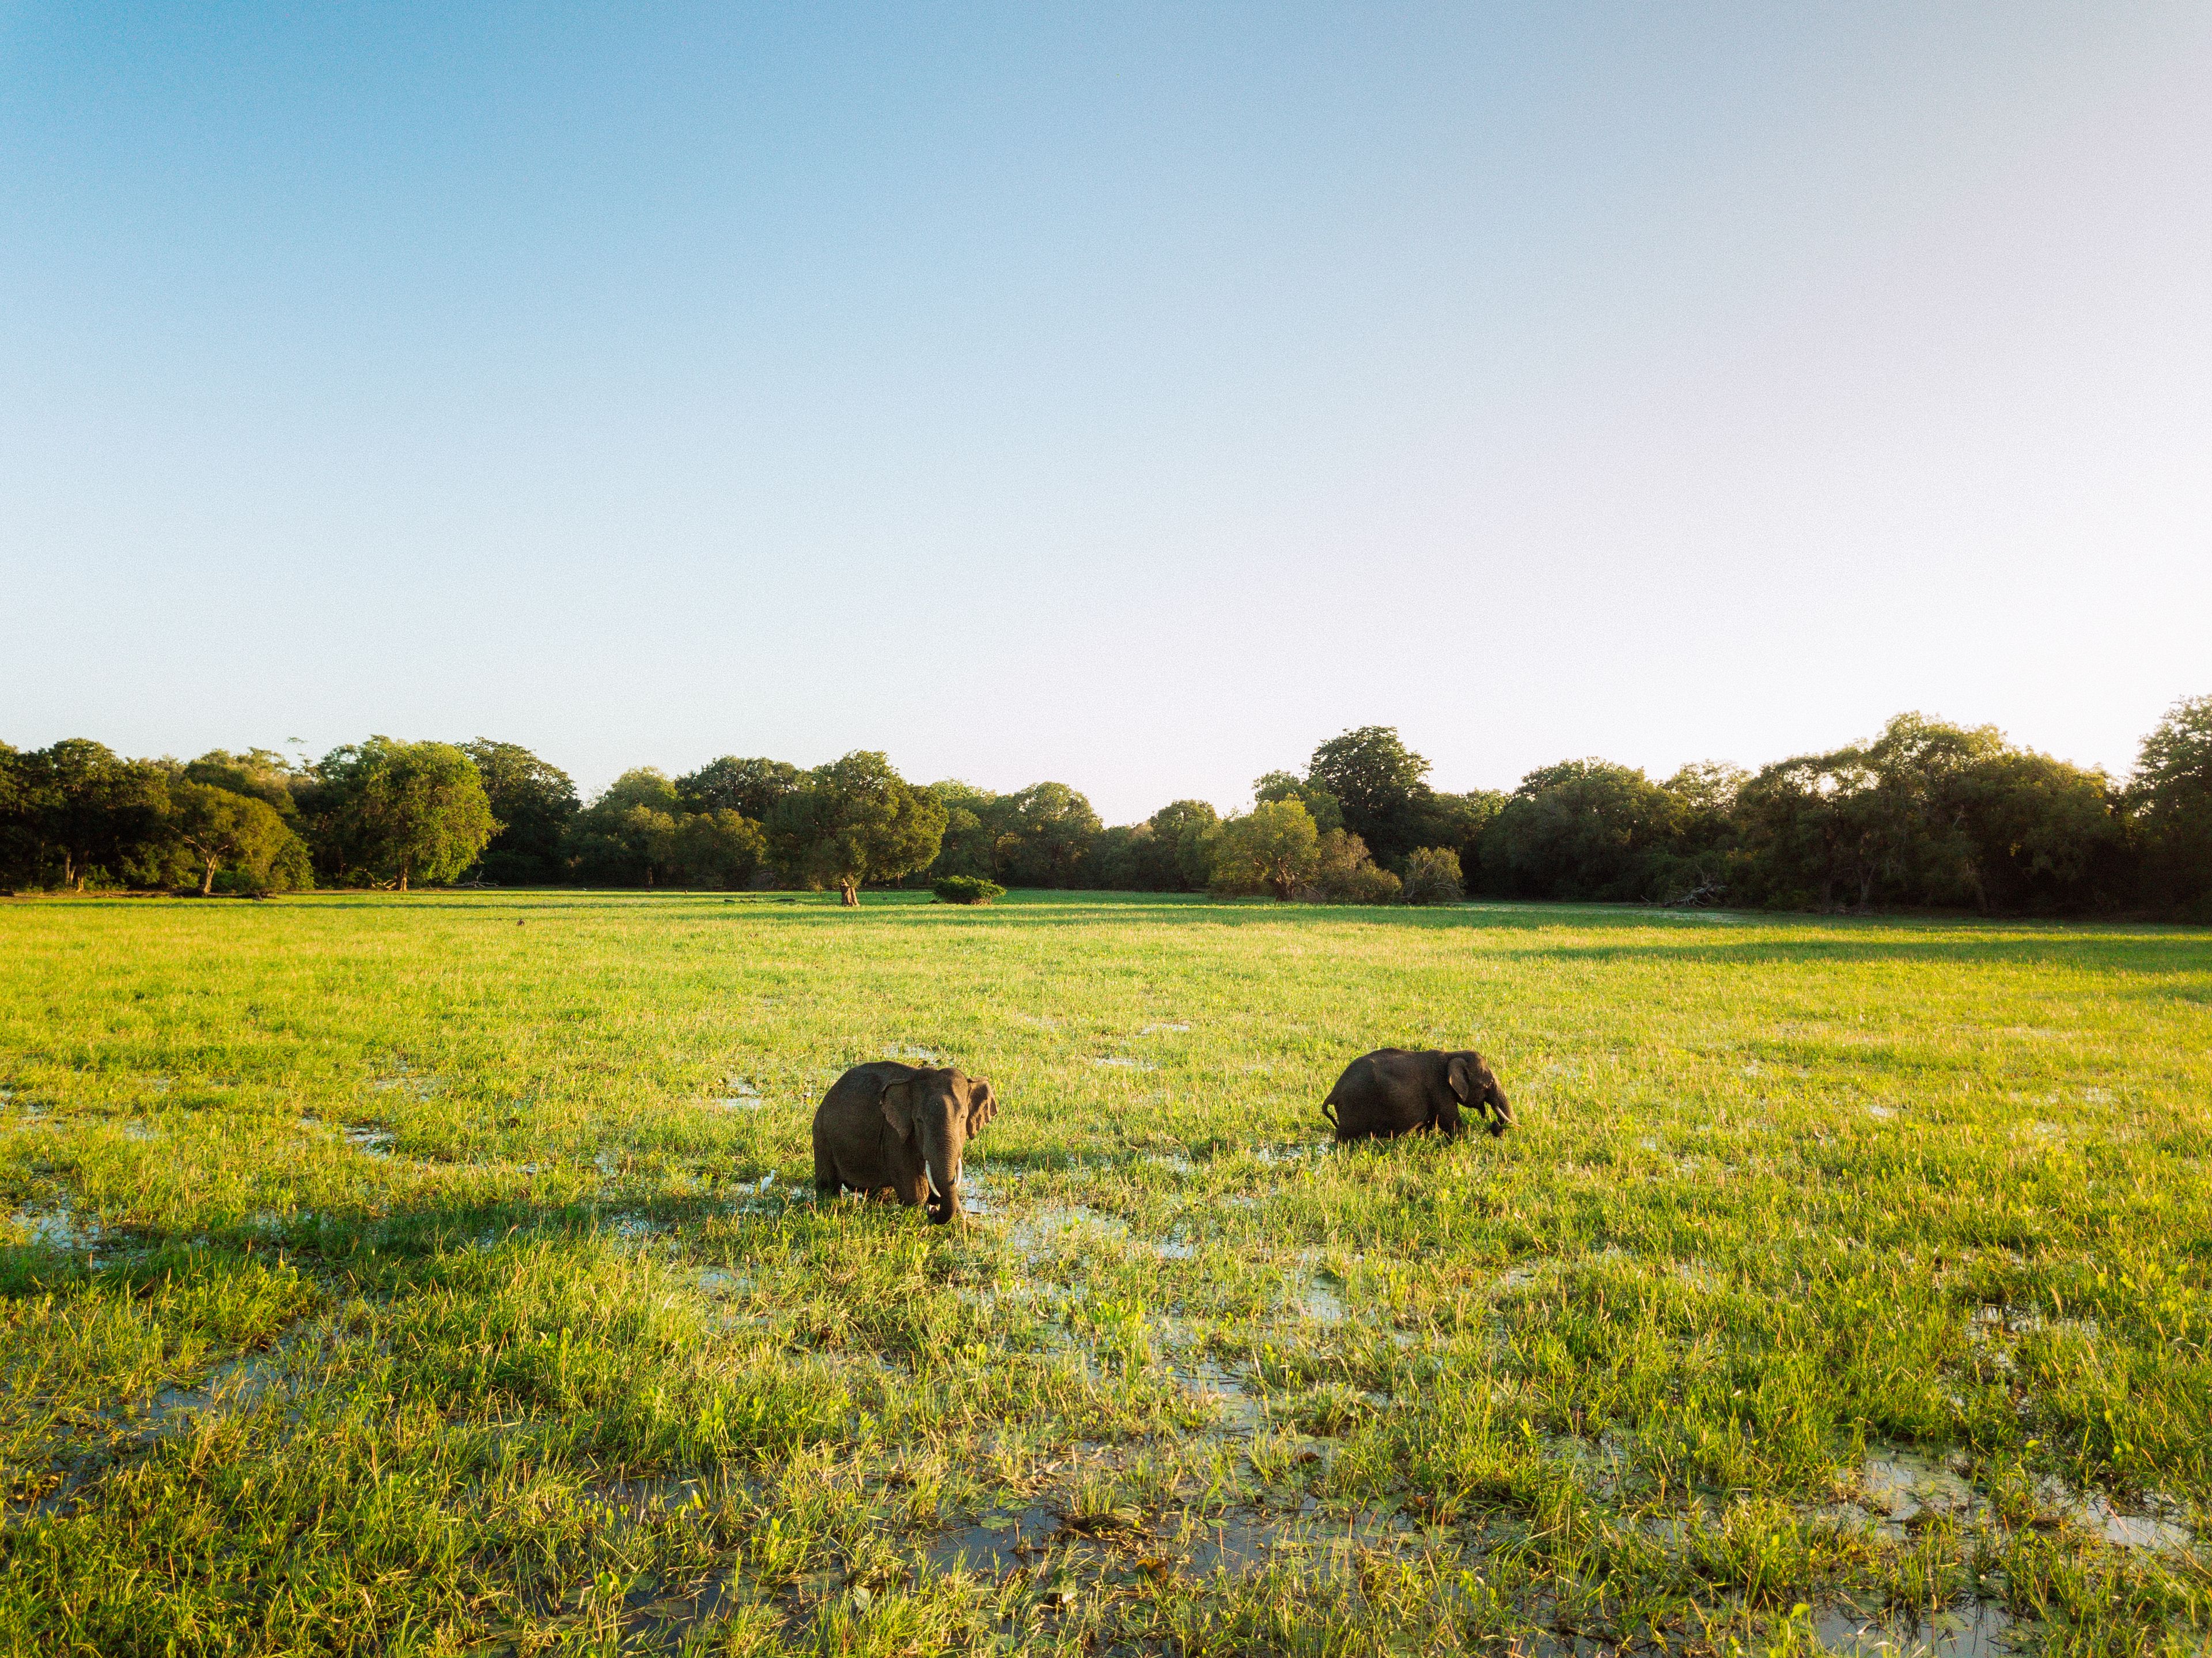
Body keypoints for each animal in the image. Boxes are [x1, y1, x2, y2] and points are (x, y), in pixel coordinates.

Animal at [812, 1061, 998, 1224]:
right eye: (919, 1120)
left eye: (962, 1118)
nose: (933, 1212)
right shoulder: (894, 1135)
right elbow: (915, 1193)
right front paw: (922, 1207)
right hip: (821, 1136)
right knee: (828, 1184)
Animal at [1321, 1048, 1512, 1144]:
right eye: (1488, 1085)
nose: (1495, 1127)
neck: (1453, 1054)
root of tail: (1334, 1091)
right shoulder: (1440, 1089)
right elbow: (1452, 1124)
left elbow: (1429, 1125)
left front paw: (1425, 1140)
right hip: (1353, 1107)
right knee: (1345, 1137)